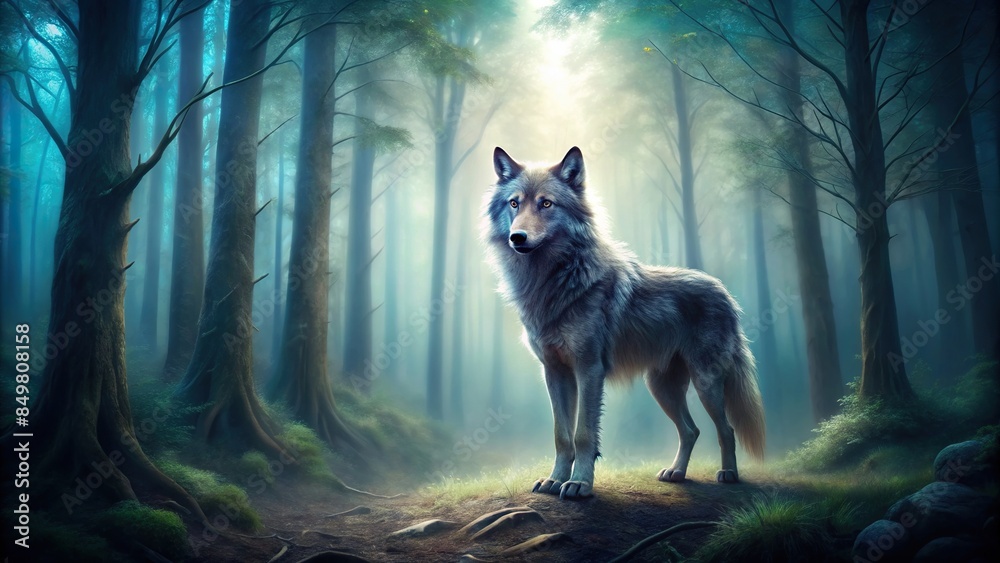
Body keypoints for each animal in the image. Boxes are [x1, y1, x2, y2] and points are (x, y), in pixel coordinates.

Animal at [484, 146, 766, 500]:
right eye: (514, 203)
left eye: (546, 204)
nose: (517, 237)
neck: (553, 282)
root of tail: (725, 292)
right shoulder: (555, 373)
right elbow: (562, 435)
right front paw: (555, 480)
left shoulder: (590, 369)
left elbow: (583, 434)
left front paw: (579, 484)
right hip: (661, 388)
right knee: (691, 430)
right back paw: (676, 472)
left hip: (706, 383)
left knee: (725, 428)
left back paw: (729, 474)